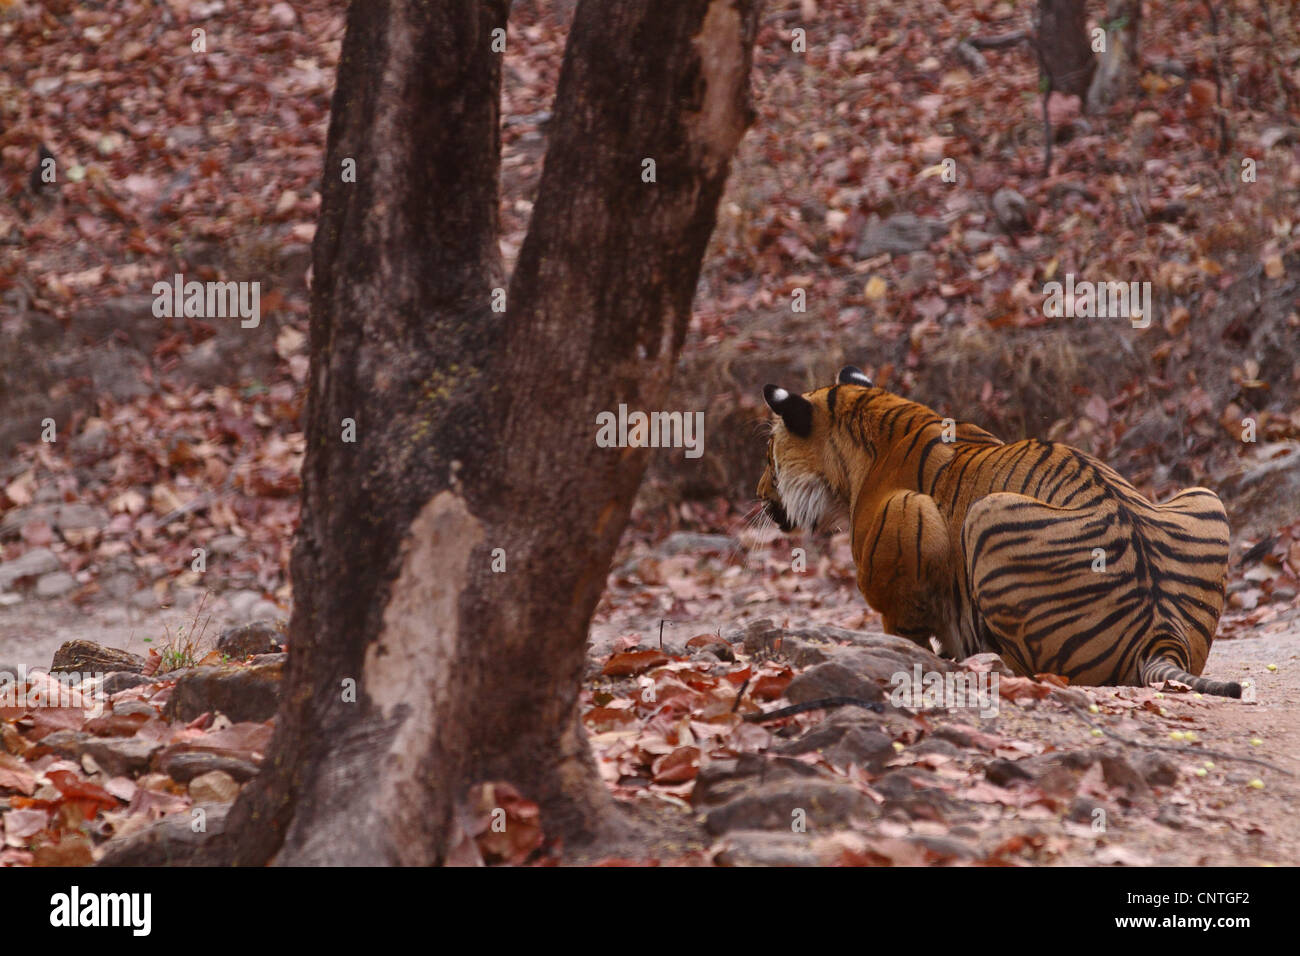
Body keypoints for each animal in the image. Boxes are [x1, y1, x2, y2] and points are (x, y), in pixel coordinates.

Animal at [756, 365, 1240, 698]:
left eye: (768, 451)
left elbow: (905, 633)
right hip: (1206, 496)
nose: (759, 493)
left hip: (985, 513)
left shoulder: (905, 517)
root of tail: (1161, 635)